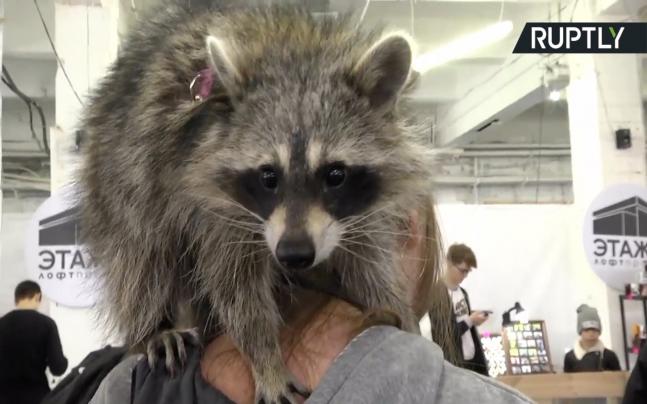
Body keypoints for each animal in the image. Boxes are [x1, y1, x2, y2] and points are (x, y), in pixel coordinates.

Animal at [80, 1, 434, 402]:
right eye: (268, 177)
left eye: (335, 175)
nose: (294, 253)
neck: (297, 56)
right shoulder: (211, 199)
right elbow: (235, 284)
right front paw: (263, 355)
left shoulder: (357, 211)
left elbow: (367, 260)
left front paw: (394, 306)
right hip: (119, 171)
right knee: (138, 252)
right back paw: (151, 325)